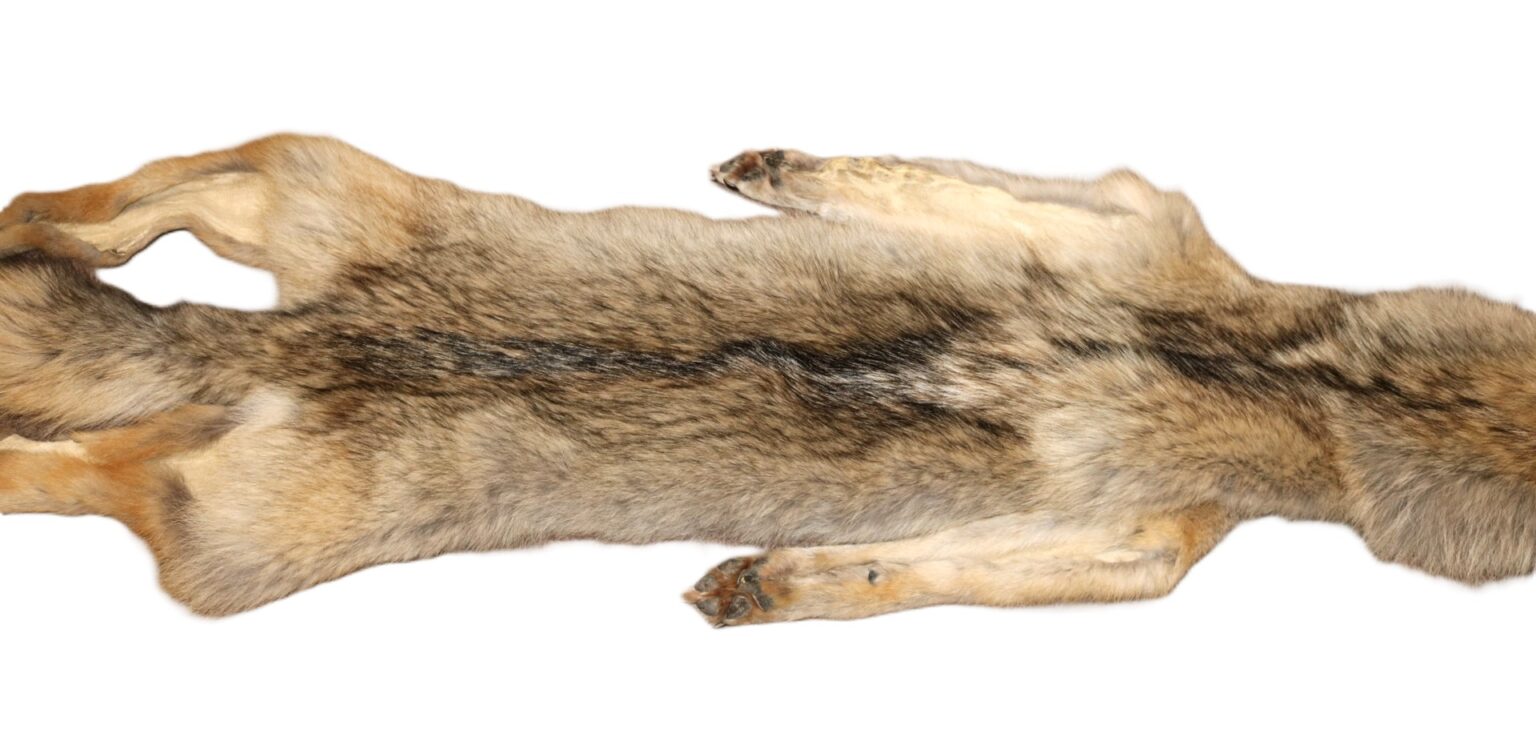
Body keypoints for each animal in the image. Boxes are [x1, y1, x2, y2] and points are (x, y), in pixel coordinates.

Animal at [0, 136, 1531, 625]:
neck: (1323, 386)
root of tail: (286, 347)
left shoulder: (1127, 242)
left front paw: (764, 583)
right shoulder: (1147, 232)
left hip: (302, 197)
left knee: (120, 226)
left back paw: (30, 236)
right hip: (236, 546)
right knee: (88, 460)